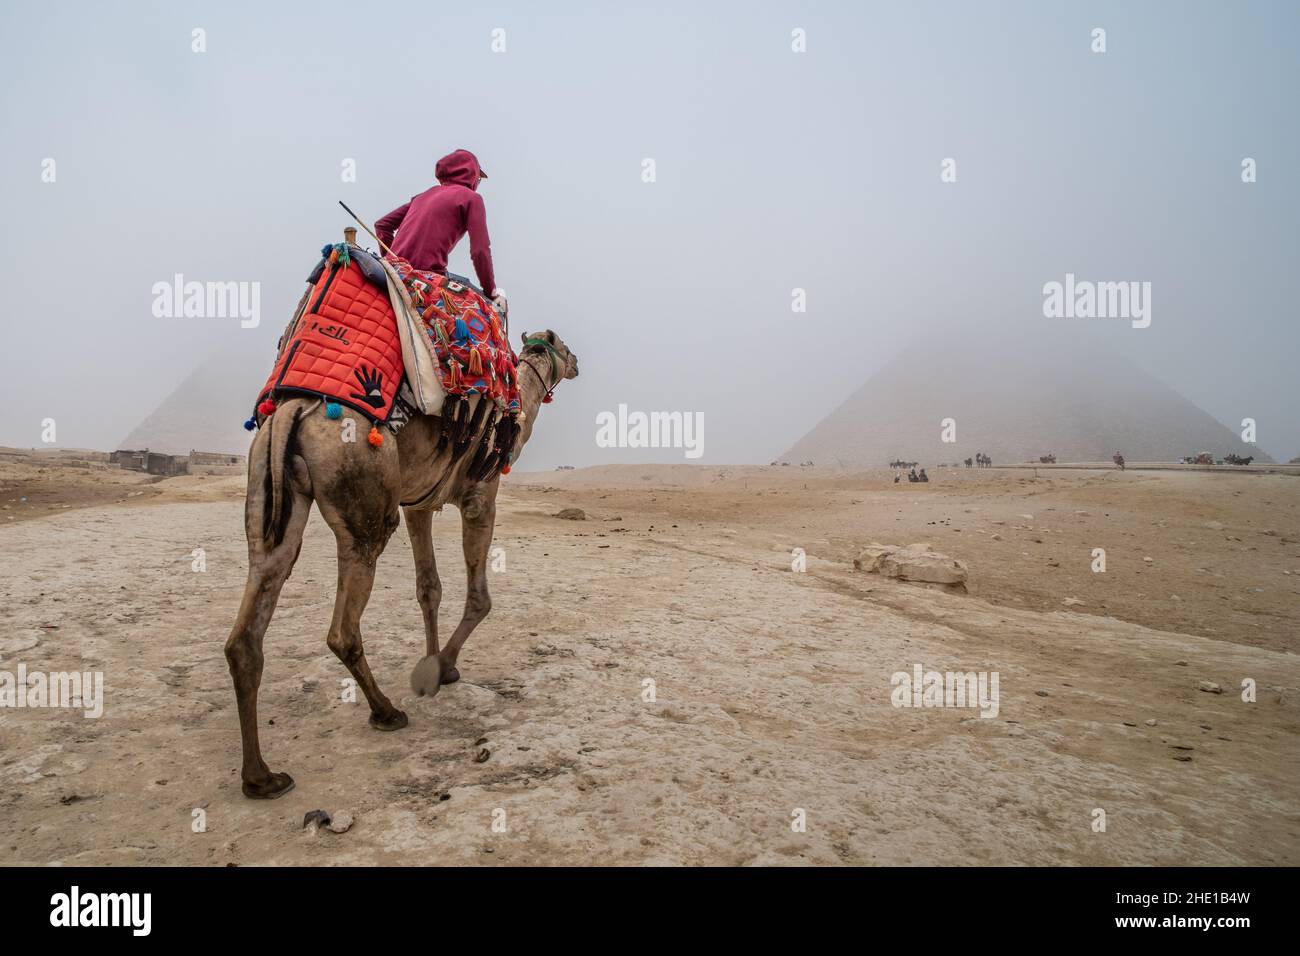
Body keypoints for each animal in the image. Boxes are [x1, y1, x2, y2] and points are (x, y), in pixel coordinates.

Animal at [224, 328, 578, 798]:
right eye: (565, 348)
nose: (577, 363)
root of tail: (295, 411)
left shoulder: (419, 504)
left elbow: (429, 588)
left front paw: (436, 662)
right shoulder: (480, 496)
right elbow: (479, 598)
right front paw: (440, 669)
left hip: (268, 482)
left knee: (250, 621)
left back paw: (261, 777)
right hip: (363, 497)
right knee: (343, 626)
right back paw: (385, 712)